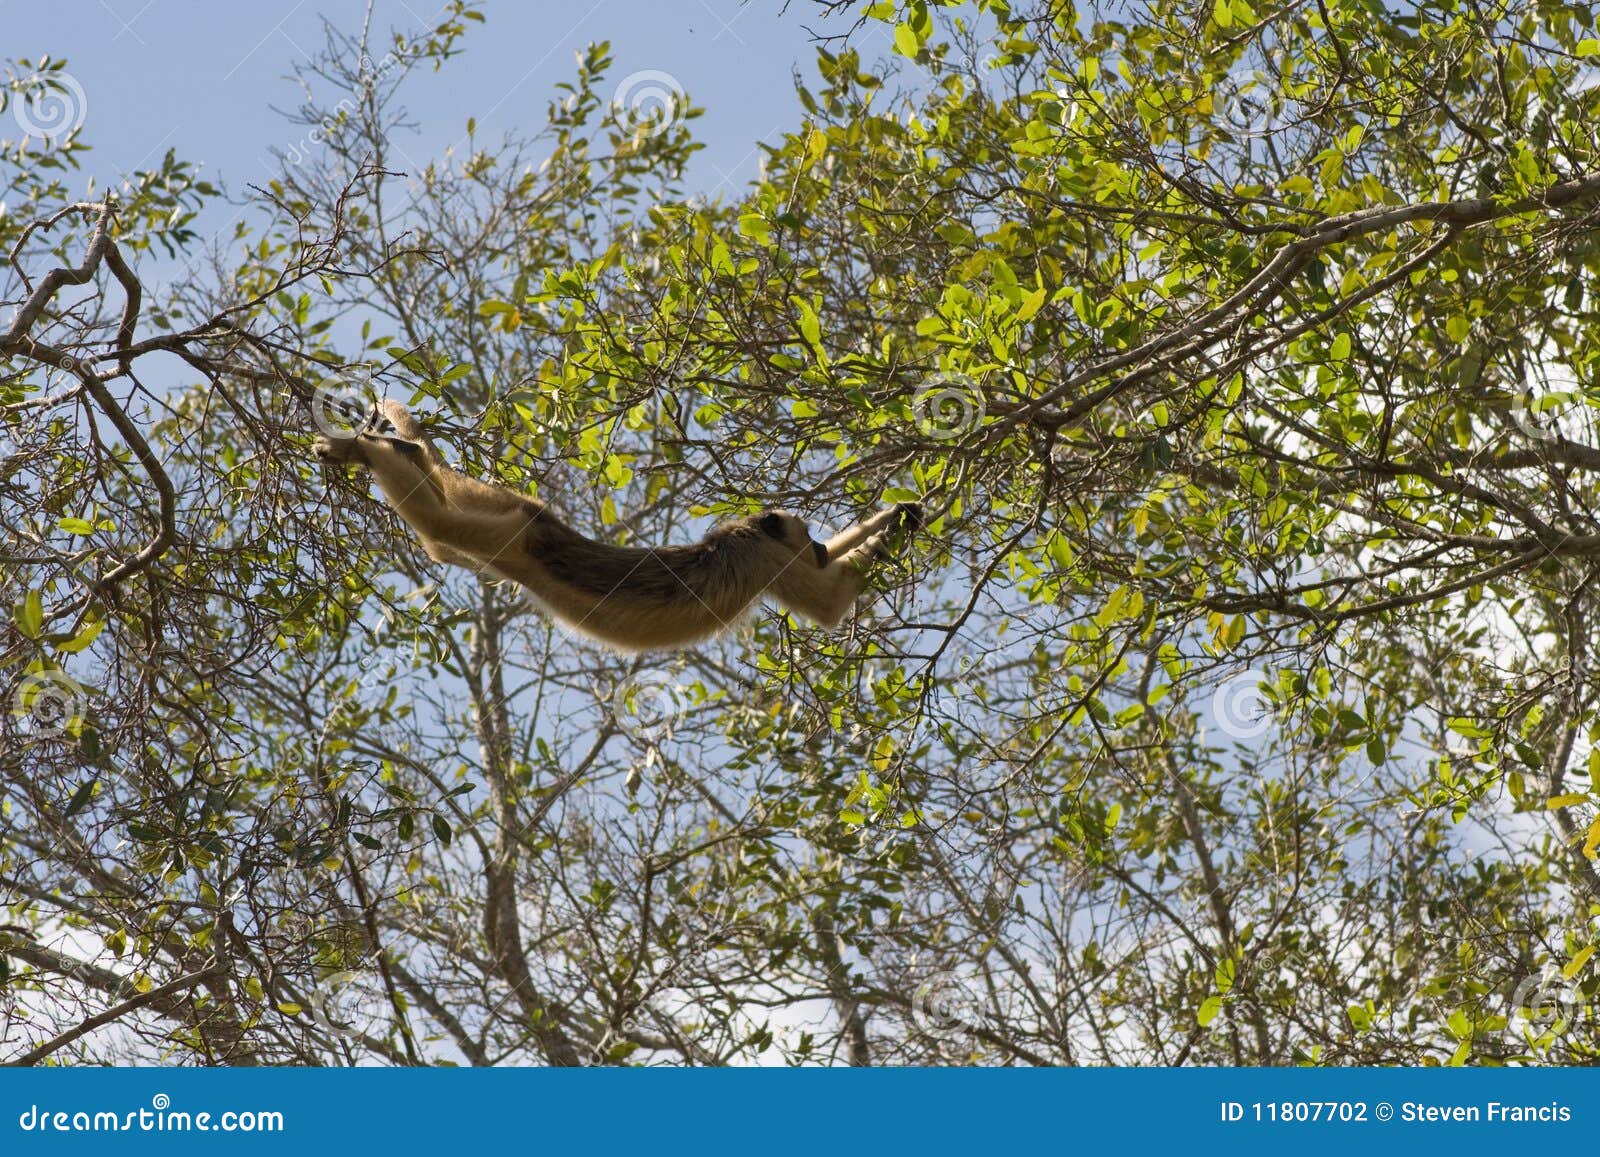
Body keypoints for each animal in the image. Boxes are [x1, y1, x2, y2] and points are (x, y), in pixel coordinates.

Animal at [313, 400, 920, 651]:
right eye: (805, 534)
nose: (815, 546)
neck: (745, 533)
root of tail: (544, 532)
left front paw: (898, 514)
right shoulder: (766, 558)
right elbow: (828, 605)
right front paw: (893, 528)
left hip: (510, 525)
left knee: (447, 518)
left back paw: (400, 449)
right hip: (512, 536)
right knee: (439, 524)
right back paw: (365, 450)